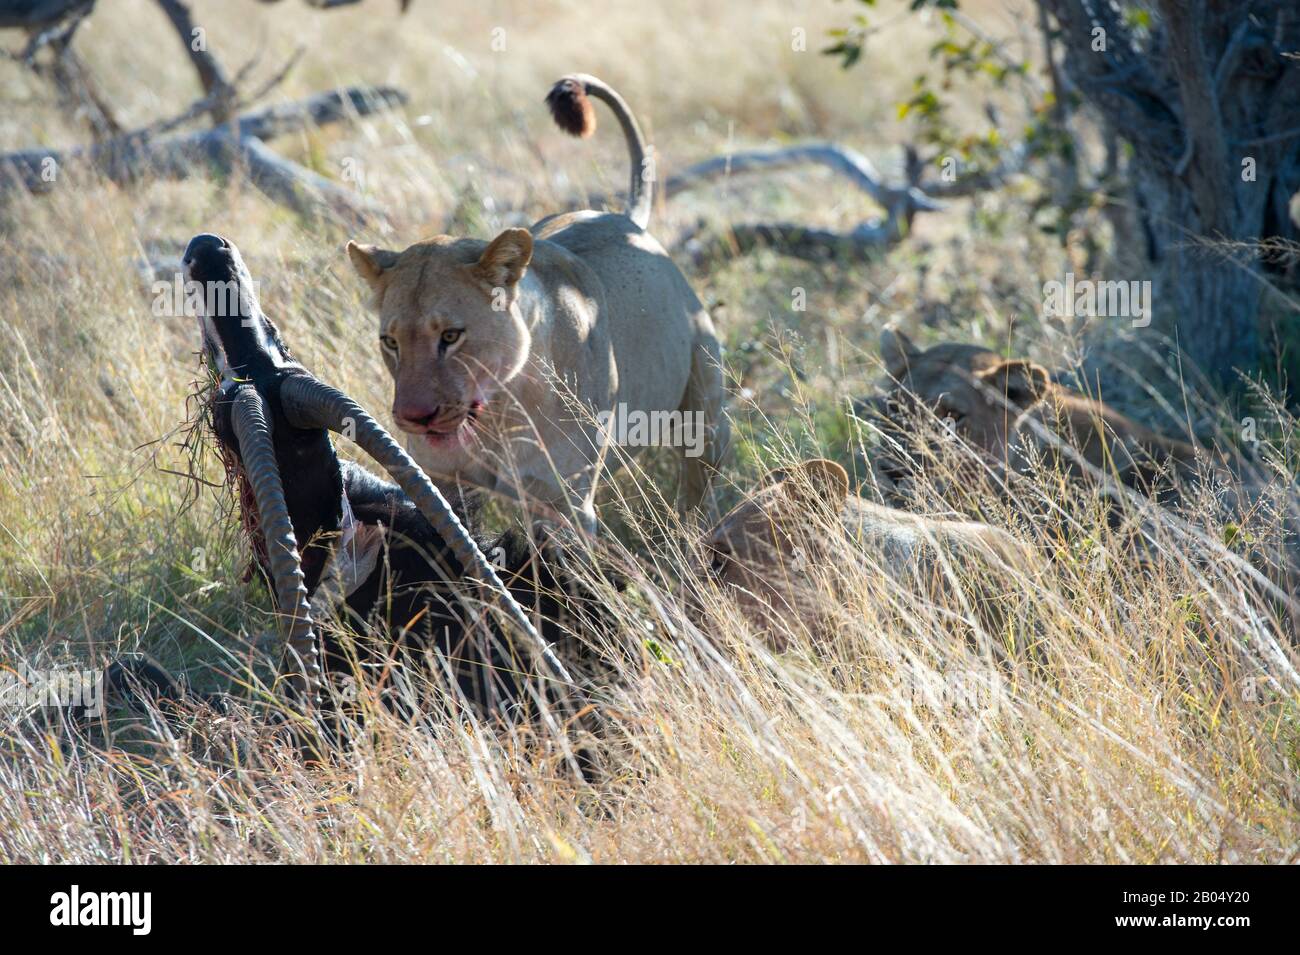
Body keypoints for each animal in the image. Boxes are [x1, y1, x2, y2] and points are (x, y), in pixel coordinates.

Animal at [346, 74, 728, 531]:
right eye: (390, 342)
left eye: (451, 336)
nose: (414, 417)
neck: (496, 416)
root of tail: (623, 219)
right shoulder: (443, 488)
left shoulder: (566, 506)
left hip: (707, 418)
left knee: (700, 487)